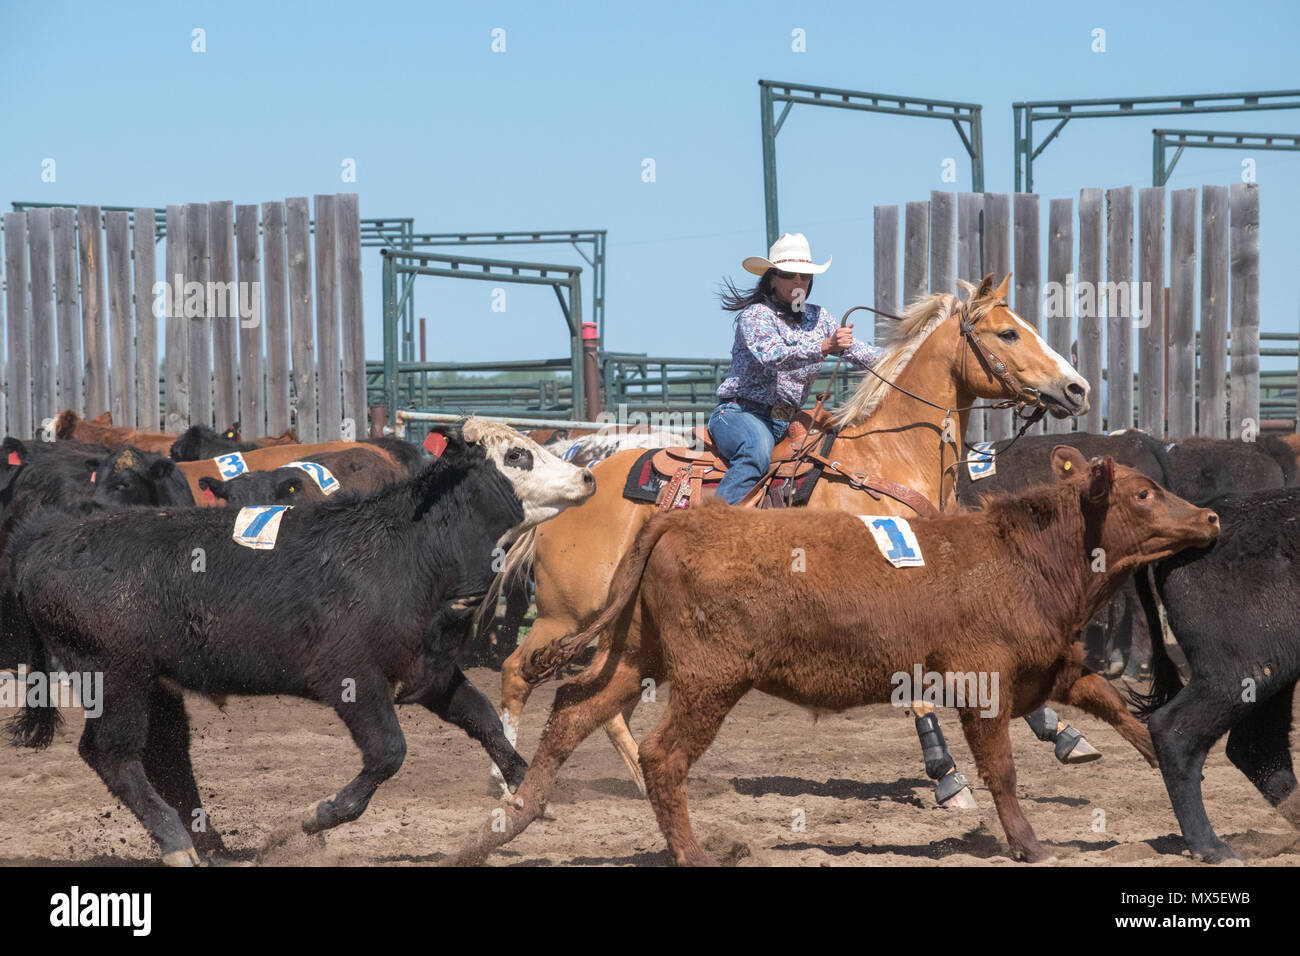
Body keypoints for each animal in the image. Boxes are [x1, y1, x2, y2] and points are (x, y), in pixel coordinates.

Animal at [3, 419, 595, 866]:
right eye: (517, 455)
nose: (587, 476)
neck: (408, 551)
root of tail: (44, 541)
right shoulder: (351, 678)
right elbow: (388, 753)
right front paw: (314, 819)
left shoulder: (431, 673)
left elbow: (485, 722)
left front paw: (528, 792)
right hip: (113, 674)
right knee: (112, 754)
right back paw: (176, 844)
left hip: (154, 681)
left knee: (168, 755)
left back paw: (211, 845)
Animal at [452, 446, 1218, 866]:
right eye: (1143, 493)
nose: (1210, 517)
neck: (1022, 558)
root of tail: (678, 519)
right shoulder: (985, 684)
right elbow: (1001, 770)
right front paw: (1028, 844)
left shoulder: (1054, 667)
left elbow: (1122, 712)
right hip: (707, 679)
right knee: (662, 757)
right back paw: (693, 852)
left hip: (635, 659)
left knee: (572, 714)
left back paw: (506, 823)